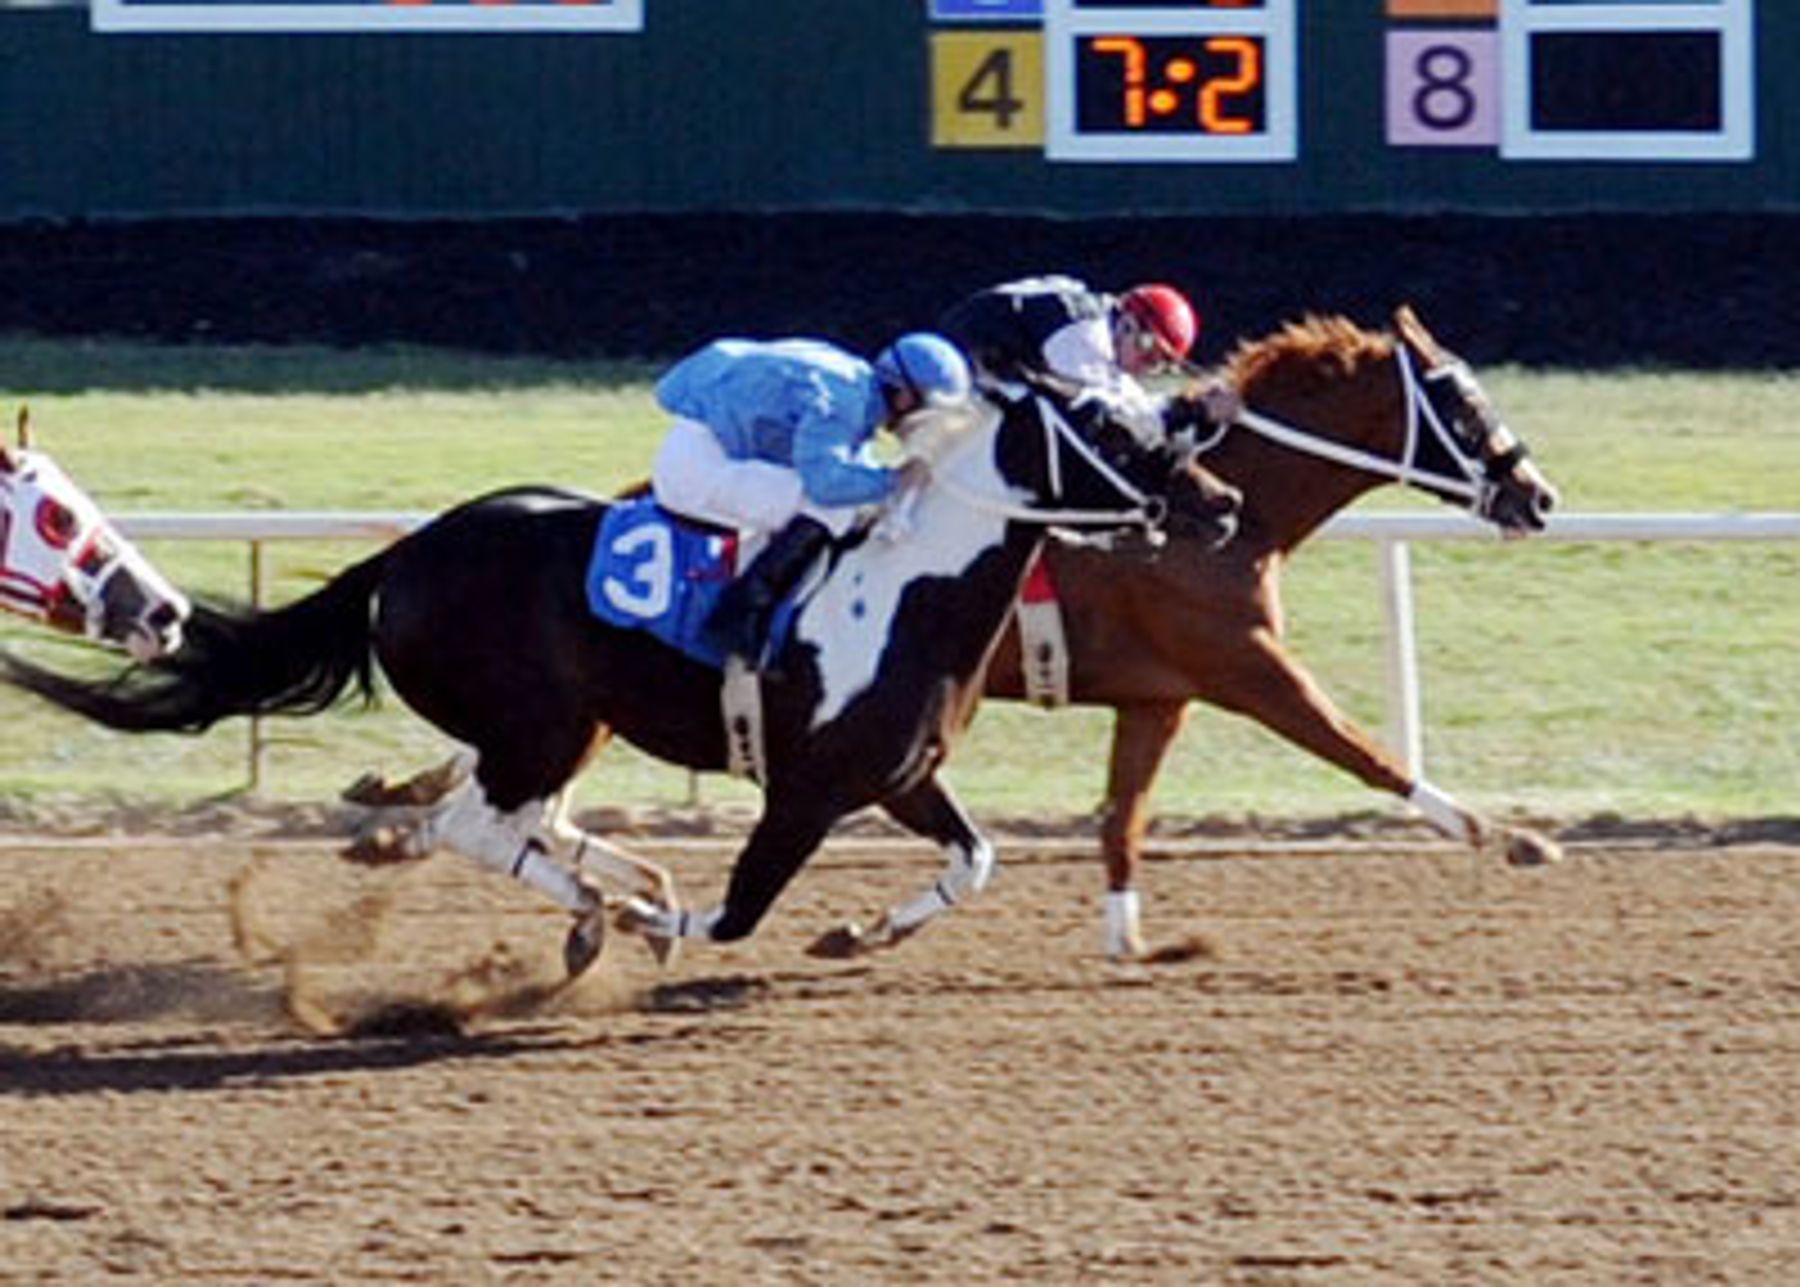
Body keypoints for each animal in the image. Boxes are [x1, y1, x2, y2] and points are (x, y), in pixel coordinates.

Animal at [976, 306, 1563, 958]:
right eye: (1465, 409)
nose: (1540, 497)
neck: (1232, 522)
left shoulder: (1157, 699)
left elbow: (1122, 816)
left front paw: (1129, 942)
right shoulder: (1248, 666)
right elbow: (1364, 752)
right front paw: (1509, 836)